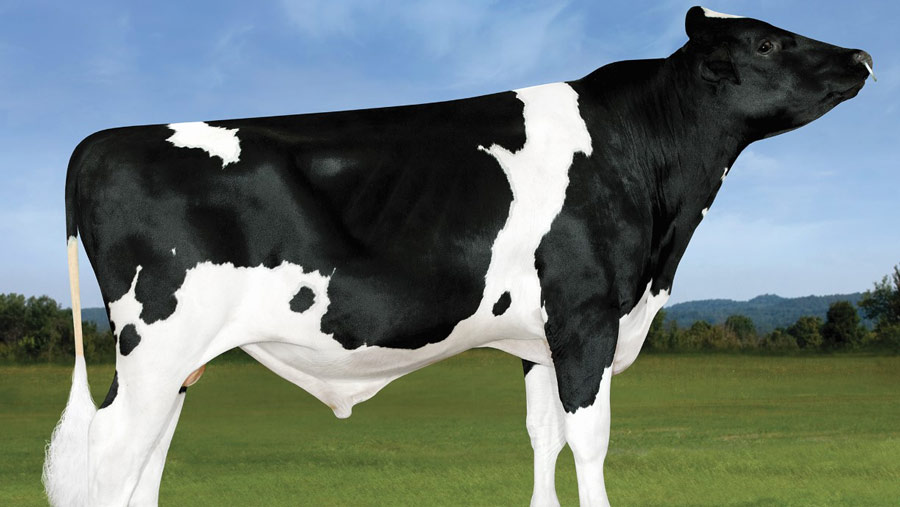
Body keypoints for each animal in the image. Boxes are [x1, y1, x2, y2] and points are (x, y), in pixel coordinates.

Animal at [43, 6, 872, 506]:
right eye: (766, 42)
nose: (864, 54)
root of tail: (100, 139)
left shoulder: (540, 341)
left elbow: (543, 438)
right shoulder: (588, 317)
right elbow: (590, 439)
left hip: (177, 360)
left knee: (144, 457)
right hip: (157, 338)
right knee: (110, 453)